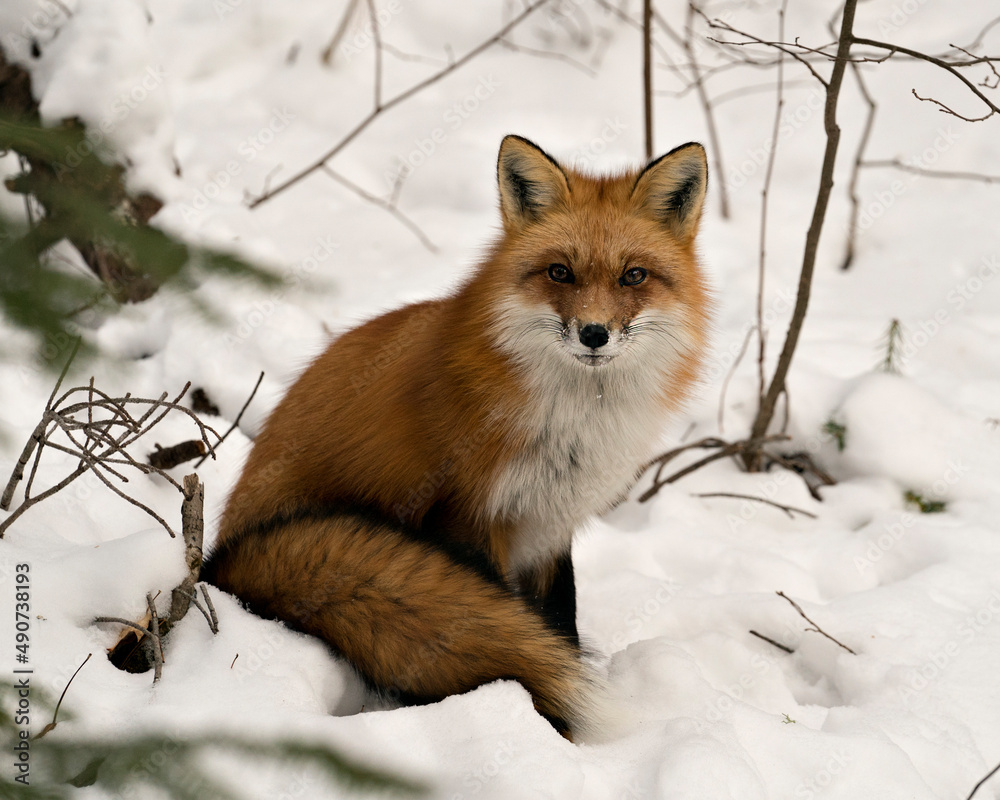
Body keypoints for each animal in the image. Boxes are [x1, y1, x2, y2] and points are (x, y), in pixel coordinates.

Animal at [201, 135, 711, 739]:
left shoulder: (549, 523)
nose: (594, 334)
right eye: (559, 272)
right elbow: (522, 626)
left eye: (633, 276)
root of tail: (217, 564)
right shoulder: (469, 514)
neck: (573, 423)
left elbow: (558, 620)